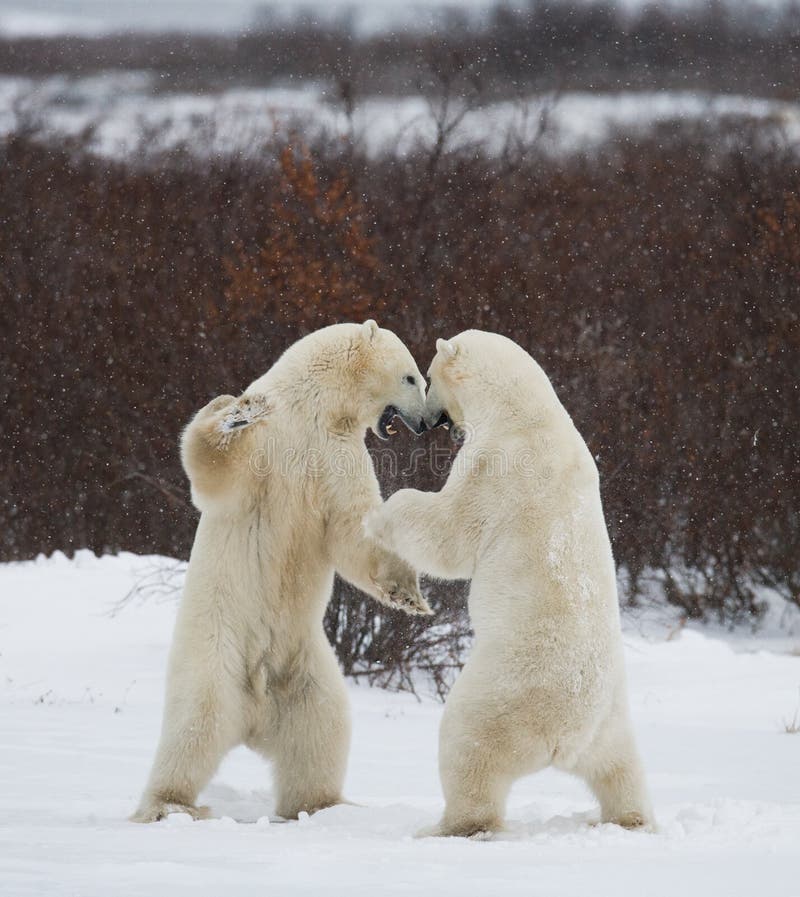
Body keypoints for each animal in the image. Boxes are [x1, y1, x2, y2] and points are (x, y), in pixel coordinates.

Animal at [132, 321, 432, 824]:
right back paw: (170, 805)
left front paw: (410, 595)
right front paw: (233, 412)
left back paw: (327, 805)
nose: (427, 422)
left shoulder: (338, 453)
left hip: (306, 667)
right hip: (216, 650)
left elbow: (353, 528)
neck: (314, 407)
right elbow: (215, 471)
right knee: (196, 723)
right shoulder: (275, 441)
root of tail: (255, 711)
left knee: (322, 729)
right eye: (412, 377)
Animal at [365, 330, 653, 837]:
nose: (425, 423)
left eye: (428, 376)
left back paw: (447, 826)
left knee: (467, 747)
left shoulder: (495, 468)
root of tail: (565, 737)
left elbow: (450, 534)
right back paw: (634, 819)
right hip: (610, 720)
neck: (525, 411)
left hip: (503, 695)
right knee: (620, 767)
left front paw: (381, 514)